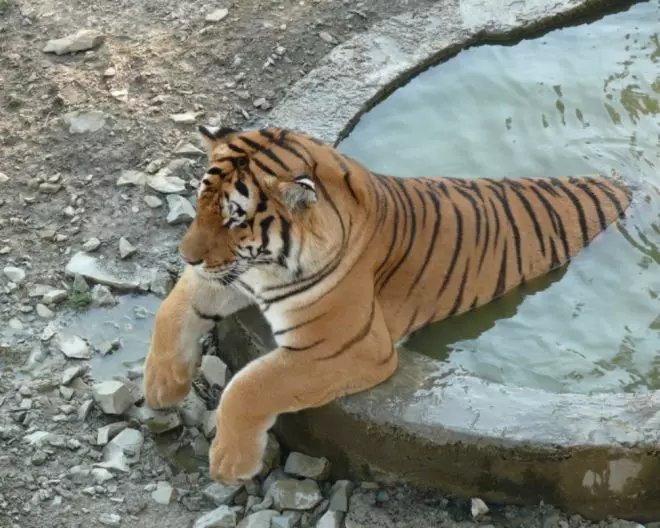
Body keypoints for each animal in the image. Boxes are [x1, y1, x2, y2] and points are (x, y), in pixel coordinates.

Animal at [142, 125, 632, 486]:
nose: (186, 255)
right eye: (201, 204)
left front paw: (229, 463)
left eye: (234, 219)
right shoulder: (233, 277)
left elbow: (251, 385)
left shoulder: (349, 346)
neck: (269, 270)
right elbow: (171, 309)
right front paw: (163, 386)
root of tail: (627, 186)